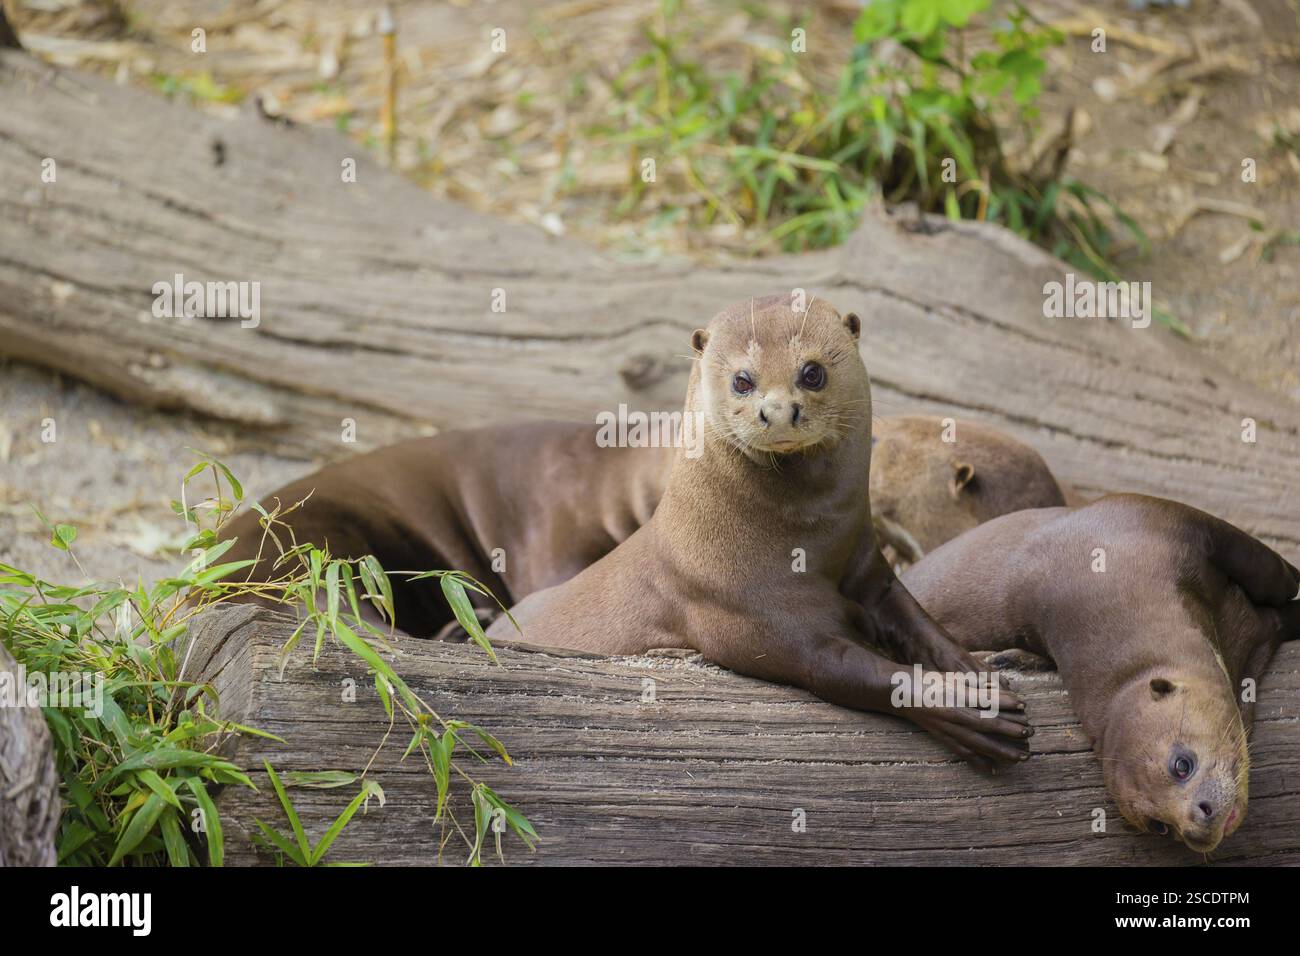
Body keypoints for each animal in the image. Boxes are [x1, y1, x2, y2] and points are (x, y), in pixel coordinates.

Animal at [487, 295, 1032, 767]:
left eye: (812, 372)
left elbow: (919, 621)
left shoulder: (869, 569)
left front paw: (977, 673)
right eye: (742, 380)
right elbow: (860, 674)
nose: (778, 410)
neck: (805, 546)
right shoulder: (764, 622)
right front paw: (974, 714)